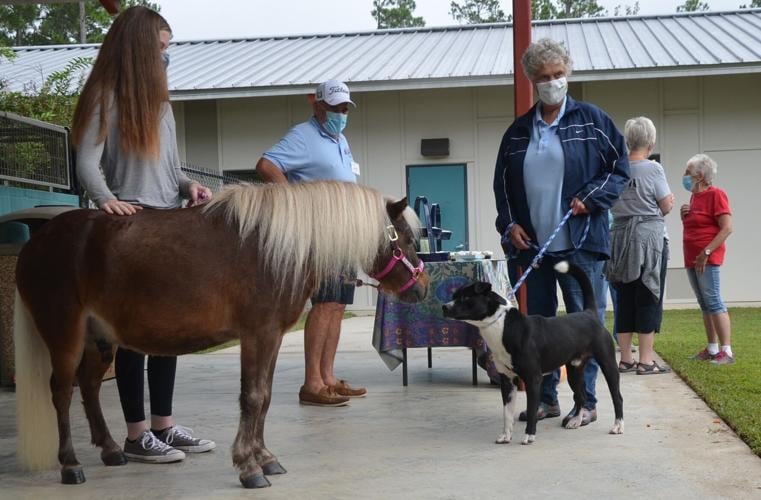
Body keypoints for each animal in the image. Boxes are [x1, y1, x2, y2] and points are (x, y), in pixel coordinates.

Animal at [13, 180, 428, 489]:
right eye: (407, 240)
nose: (422, 289)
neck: (274, 248)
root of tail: (36, 242)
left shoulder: (273, 336)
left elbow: (264, 398)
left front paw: (265, 459)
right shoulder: (257, 334)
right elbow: (253, 397)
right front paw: (249, 468)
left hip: (100, 341)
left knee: (89, 386)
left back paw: (111, 450)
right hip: (64, 336)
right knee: (62, 392)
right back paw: (70, 465)